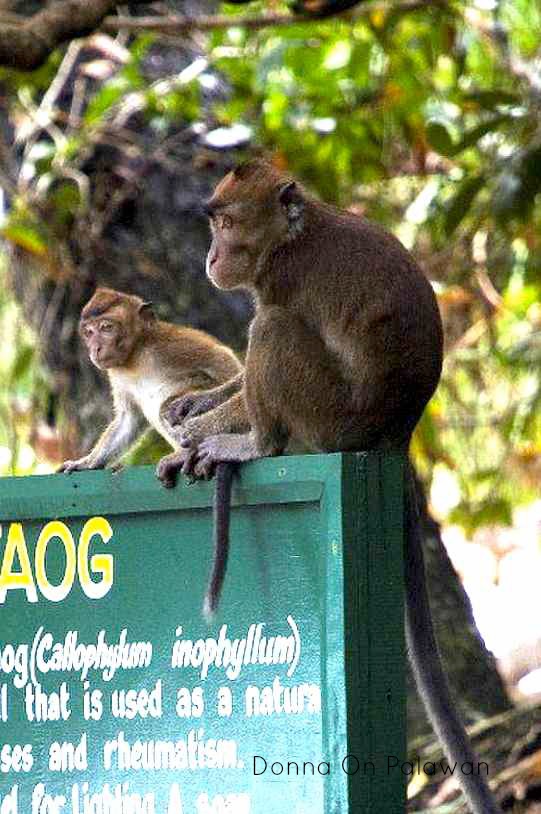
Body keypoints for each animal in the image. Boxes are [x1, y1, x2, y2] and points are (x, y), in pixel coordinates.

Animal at [58, 287, 245, 617]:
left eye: (107, 327)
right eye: (89, 332)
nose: (95, 348)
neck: (133, 357)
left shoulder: (172, 344)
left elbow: (225, 362)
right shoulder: (116, 374)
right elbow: (127, 420)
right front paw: (87, 462)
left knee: (172, 404)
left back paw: (187, 451)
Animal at [161, 159, 501, 814]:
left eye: (227, 224)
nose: (211, 256)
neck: (293, 234)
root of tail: (395, 430)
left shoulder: (283, 280)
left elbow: (268, 324)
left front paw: (201, 432)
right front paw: (199, 403)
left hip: (326, 415)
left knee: (272, 330)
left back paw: (254, 443)